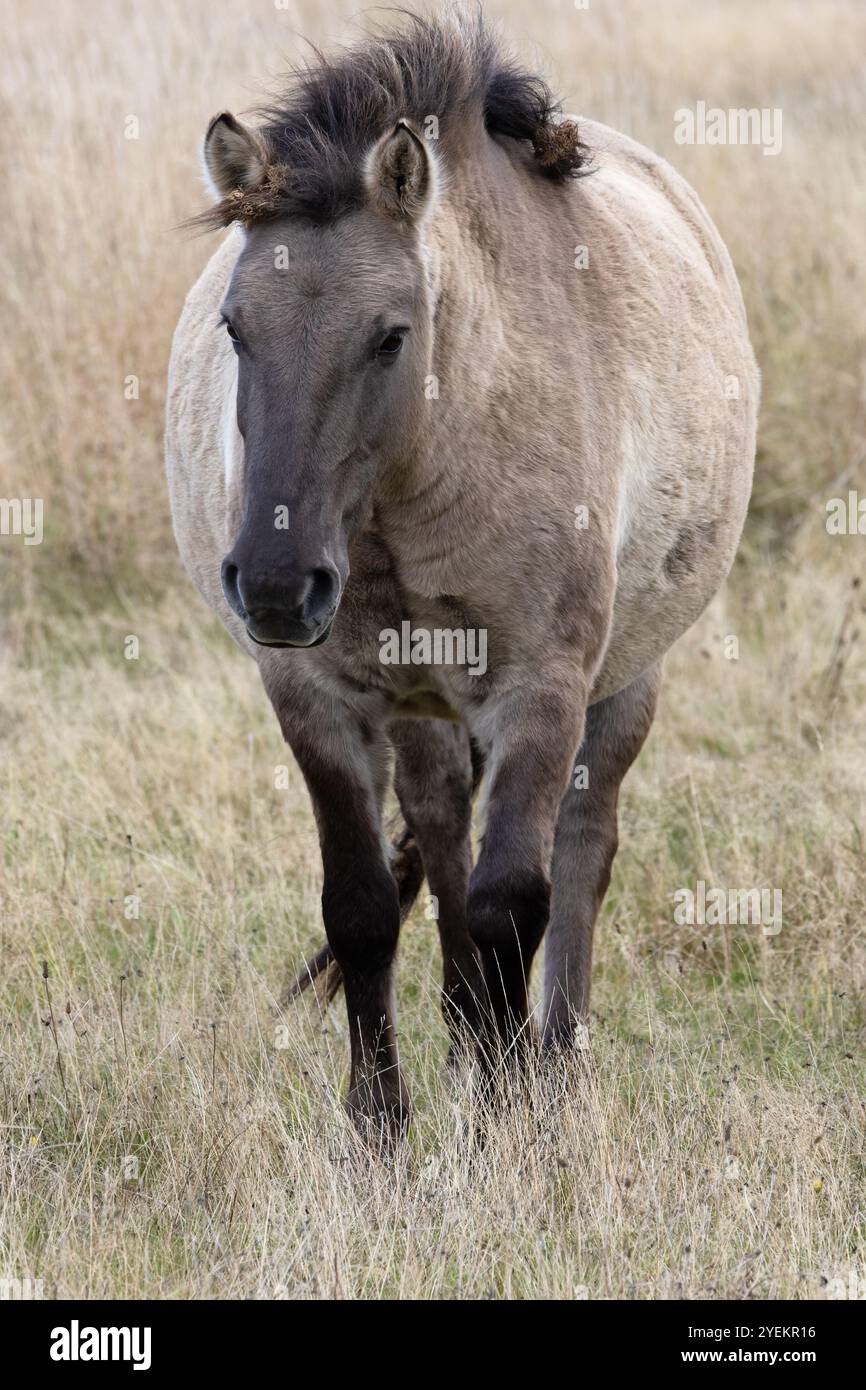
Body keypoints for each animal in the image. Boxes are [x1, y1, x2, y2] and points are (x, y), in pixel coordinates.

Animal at [165, 9, 758, 1142]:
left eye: (389, 336)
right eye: (236, 328)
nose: (275, 585)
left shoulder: (542, 688)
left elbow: (511, 900)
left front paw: (514, 1114)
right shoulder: (318, 697)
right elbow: (362, 908)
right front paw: (382, 1129)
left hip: (626, 679)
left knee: (580, 851)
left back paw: (551, 1056)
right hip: (422, 704)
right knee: (440, 834)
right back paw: (463, 1041)